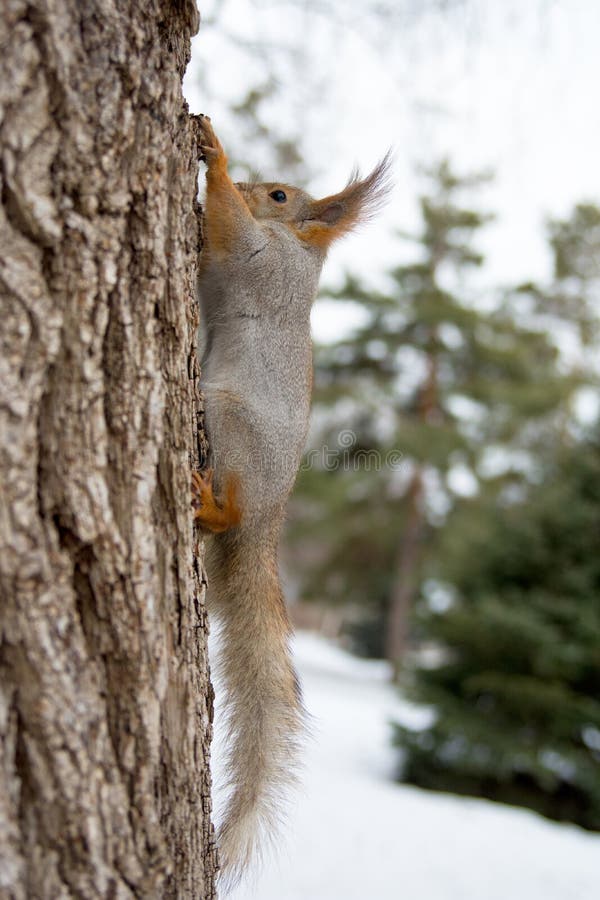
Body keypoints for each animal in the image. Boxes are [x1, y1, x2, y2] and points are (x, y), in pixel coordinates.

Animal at [192, 114, 390, 888]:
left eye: (279, 195)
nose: (254, 185)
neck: (298, 250)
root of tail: (269, 527)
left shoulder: (261, 258)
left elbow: (231, 236)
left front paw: (215, 161)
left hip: (229, 426)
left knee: (232, 509)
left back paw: (211, 505)